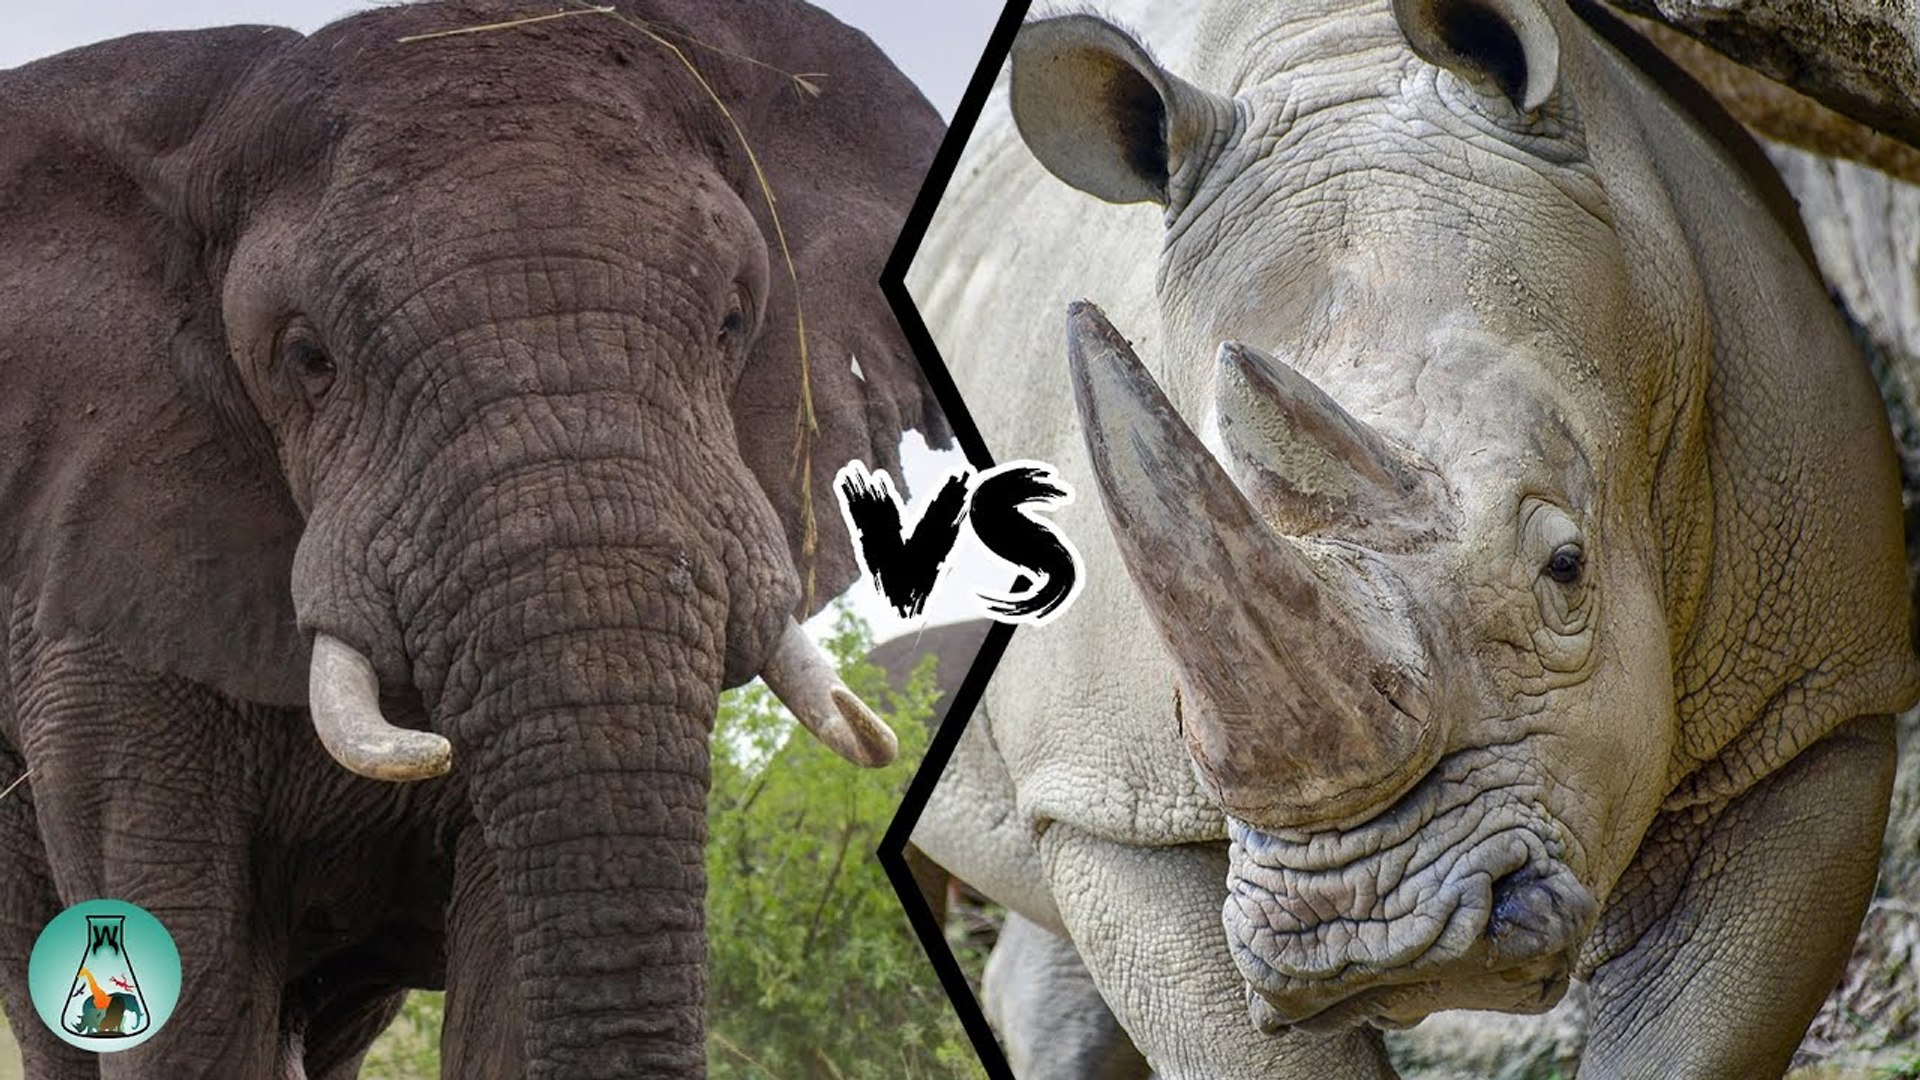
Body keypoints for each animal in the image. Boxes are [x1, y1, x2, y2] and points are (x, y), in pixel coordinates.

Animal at [905, 0, 1920, 1076]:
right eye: (1177, 707)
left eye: (1567, 568)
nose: (1365, 934)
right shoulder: (1115, 802)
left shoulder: (1810, 697)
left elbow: (1694, 1034)